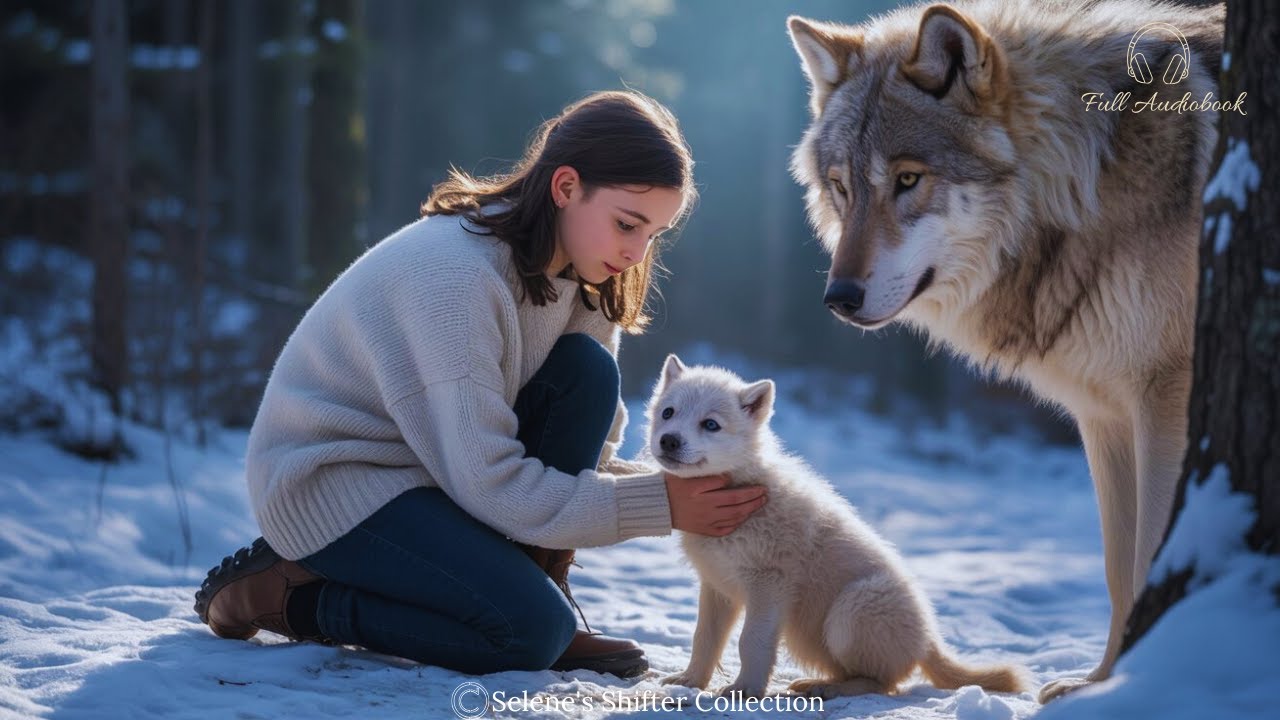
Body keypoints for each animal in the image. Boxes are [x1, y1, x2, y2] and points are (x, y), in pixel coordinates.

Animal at [649, 355, 1026, 699]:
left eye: (710, 424)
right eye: (668, 413)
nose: (669, 440)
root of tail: (929, 639)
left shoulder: (769, 584)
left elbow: (750, 641)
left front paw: (745, 690)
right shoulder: (718, 587)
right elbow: (704, 638)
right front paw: (690, 681)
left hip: (850, 611)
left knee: (882, 683)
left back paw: (828, 689)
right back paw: (817, 684)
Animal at [786, 0, 1223, 702]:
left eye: (908, 179)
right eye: (841, 187)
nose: (839, 298)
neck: (1097, 176)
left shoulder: (1166, 398)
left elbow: (1151, 558)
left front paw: (1143, 685)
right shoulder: (1105, 416)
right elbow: (1118, 567)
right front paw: (1101, 683)